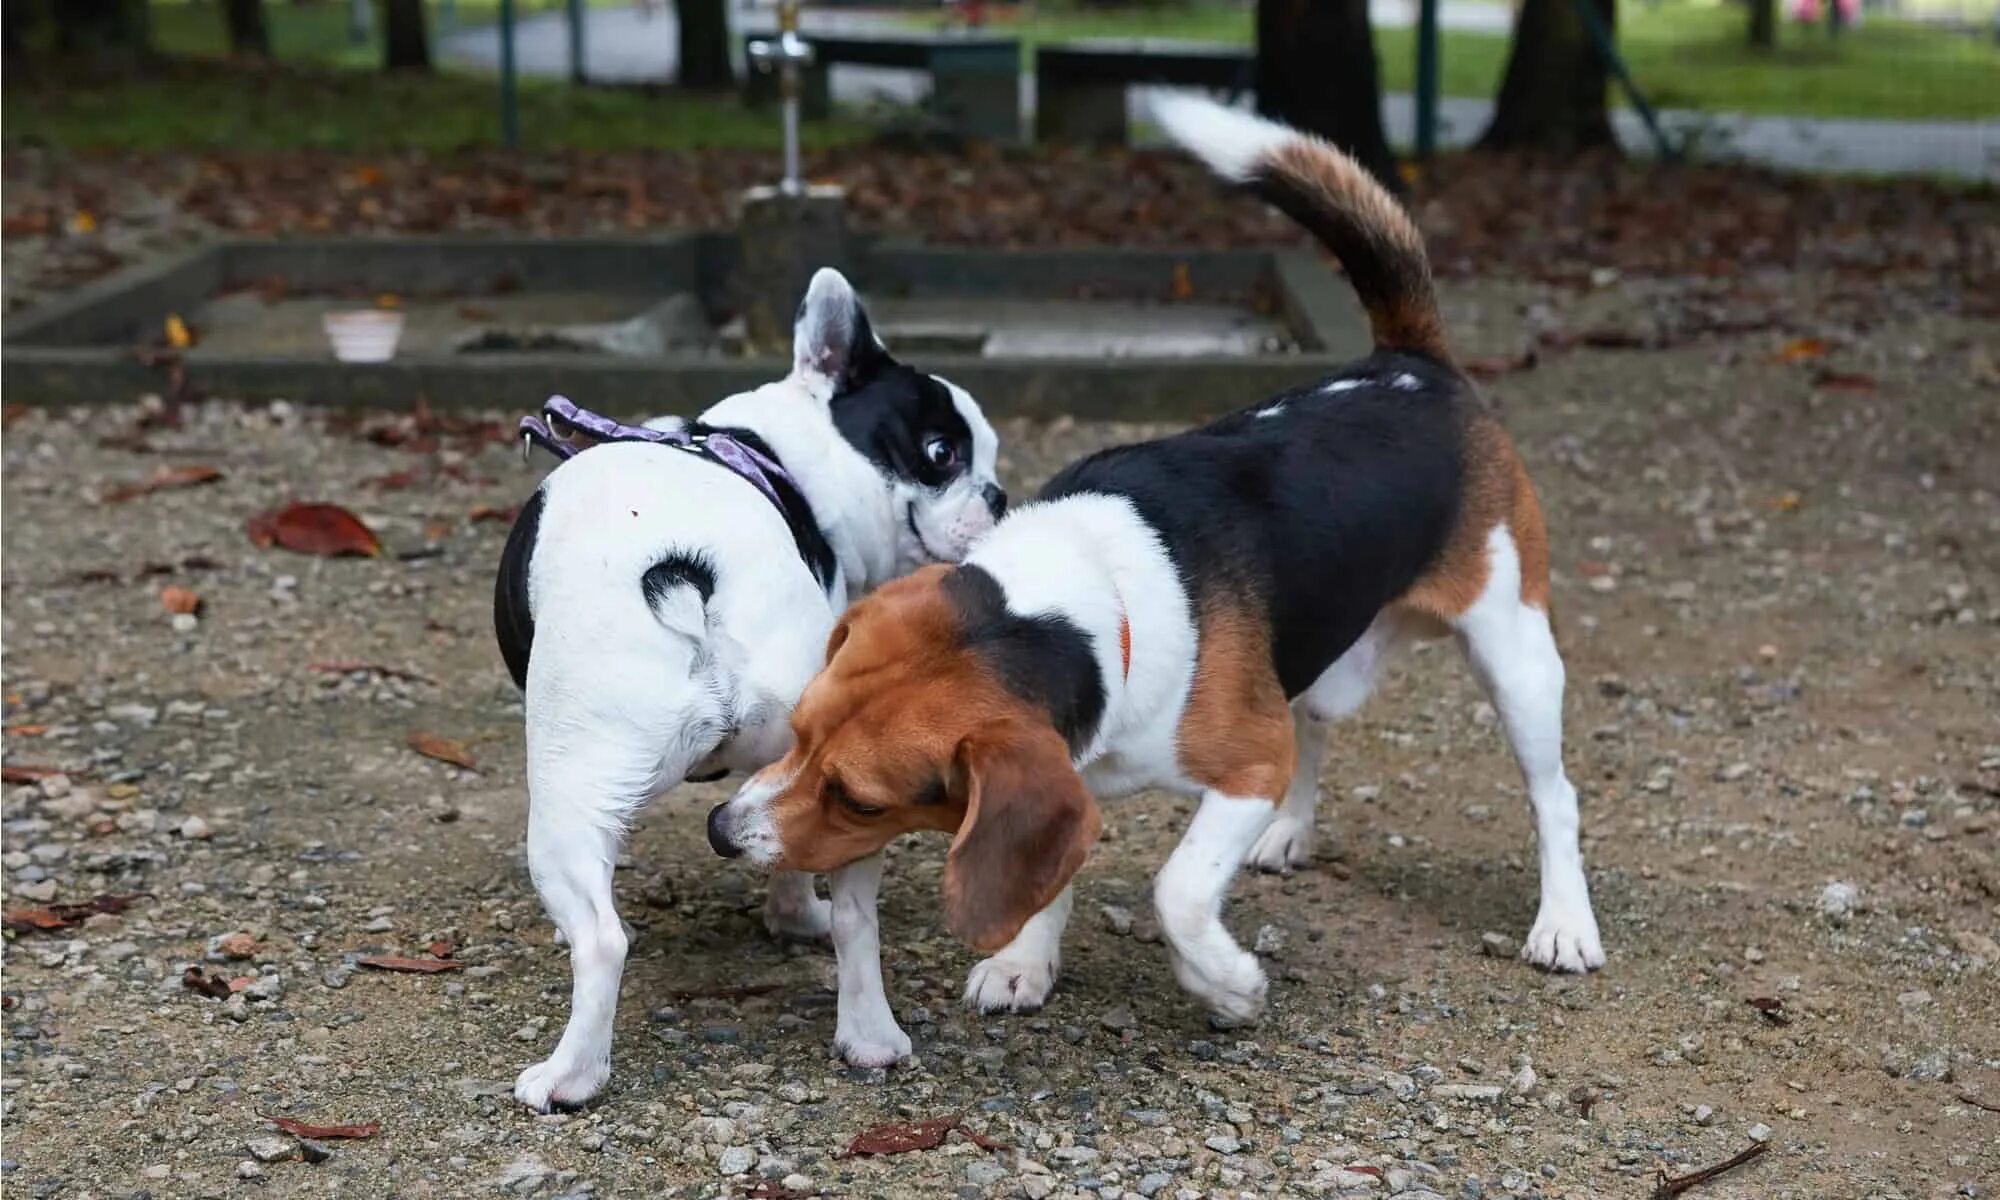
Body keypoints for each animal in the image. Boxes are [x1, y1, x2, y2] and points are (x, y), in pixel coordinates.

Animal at [494, 270, 1008, 1104]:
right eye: (942, 452)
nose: (997, 495)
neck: (783, 452)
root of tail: (687, 569)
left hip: (568, 788)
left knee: (600, 940)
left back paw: (568, 1077)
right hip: (837, 770)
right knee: (858, 920)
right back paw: (870, 1038)